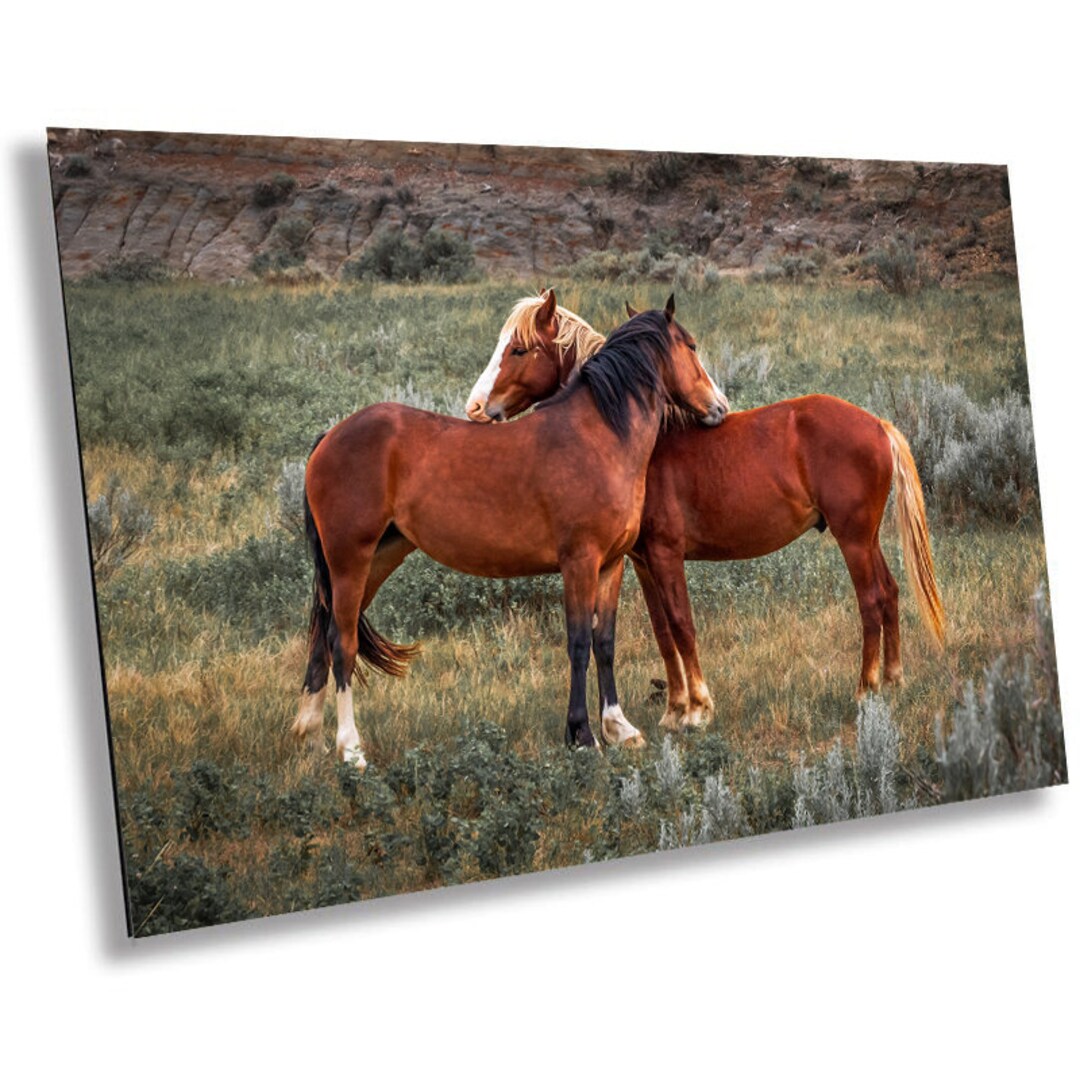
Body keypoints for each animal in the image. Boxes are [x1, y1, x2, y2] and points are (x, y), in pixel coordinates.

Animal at [293, 297, 726, 766]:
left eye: (519, 350)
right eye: (692, 346)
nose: (719, 406)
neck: (598, 437)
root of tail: (330, 437)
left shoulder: (611, 565)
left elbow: (605, 642)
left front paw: (619, 728)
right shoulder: (579, 563)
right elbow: (578, 644)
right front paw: (582, 735)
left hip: (374, 560)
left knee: (324, 635)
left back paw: (311, 737)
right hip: (349, 559)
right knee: (343, 643)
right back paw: (350, 749)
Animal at [465, 290, 944, 729]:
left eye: (518, 349)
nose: (474, 407)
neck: (640, 440)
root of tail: (877, 424)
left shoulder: (666, 554)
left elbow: (682, 624)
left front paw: (698, 710)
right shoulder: (642, 561)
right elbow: (662, 632)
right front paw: (674, 710)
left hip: (853, 539)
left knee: (871, 599)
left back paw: (866, 689)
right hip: (867, 538)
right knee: (890, 592)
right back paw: (893, 679)